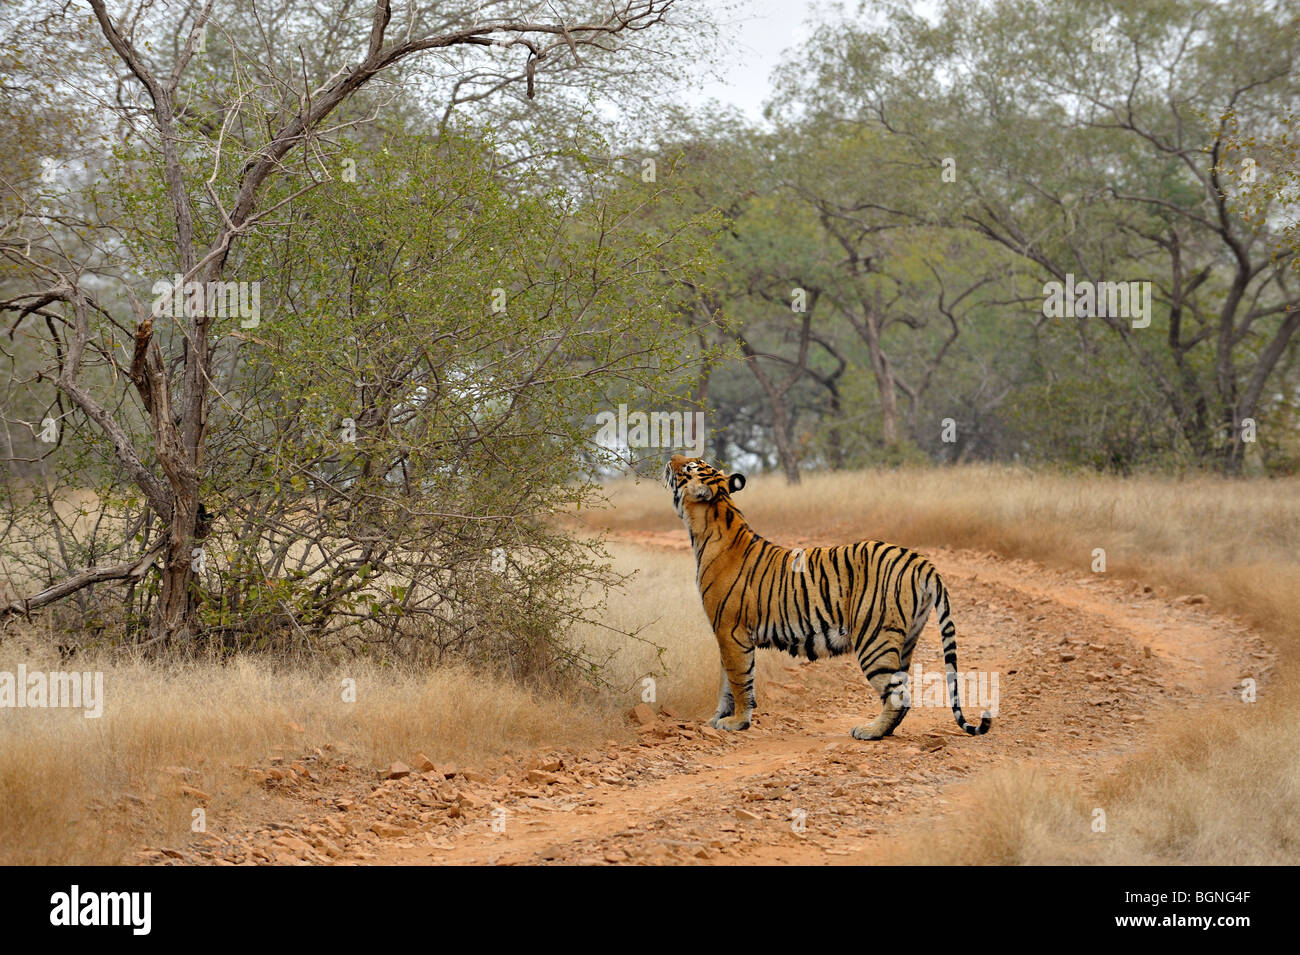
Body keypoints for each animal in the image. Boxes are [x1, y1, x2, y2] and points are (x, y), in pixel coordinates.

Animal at [664, 453, 992, 740]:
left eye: (689, 466)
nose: (671, 457)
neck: (714, 521)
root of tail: (919, 559)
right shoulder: (726, 635)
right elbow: (726, 683)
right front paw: (716, 719)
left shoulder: (731, 632)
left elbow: (739, 680)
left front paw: (737, 722)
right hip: (908, 637)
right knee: (904, 690)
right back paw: (885, 730)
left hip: (874, 638)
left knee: (897, 694)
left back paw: (870, 732)